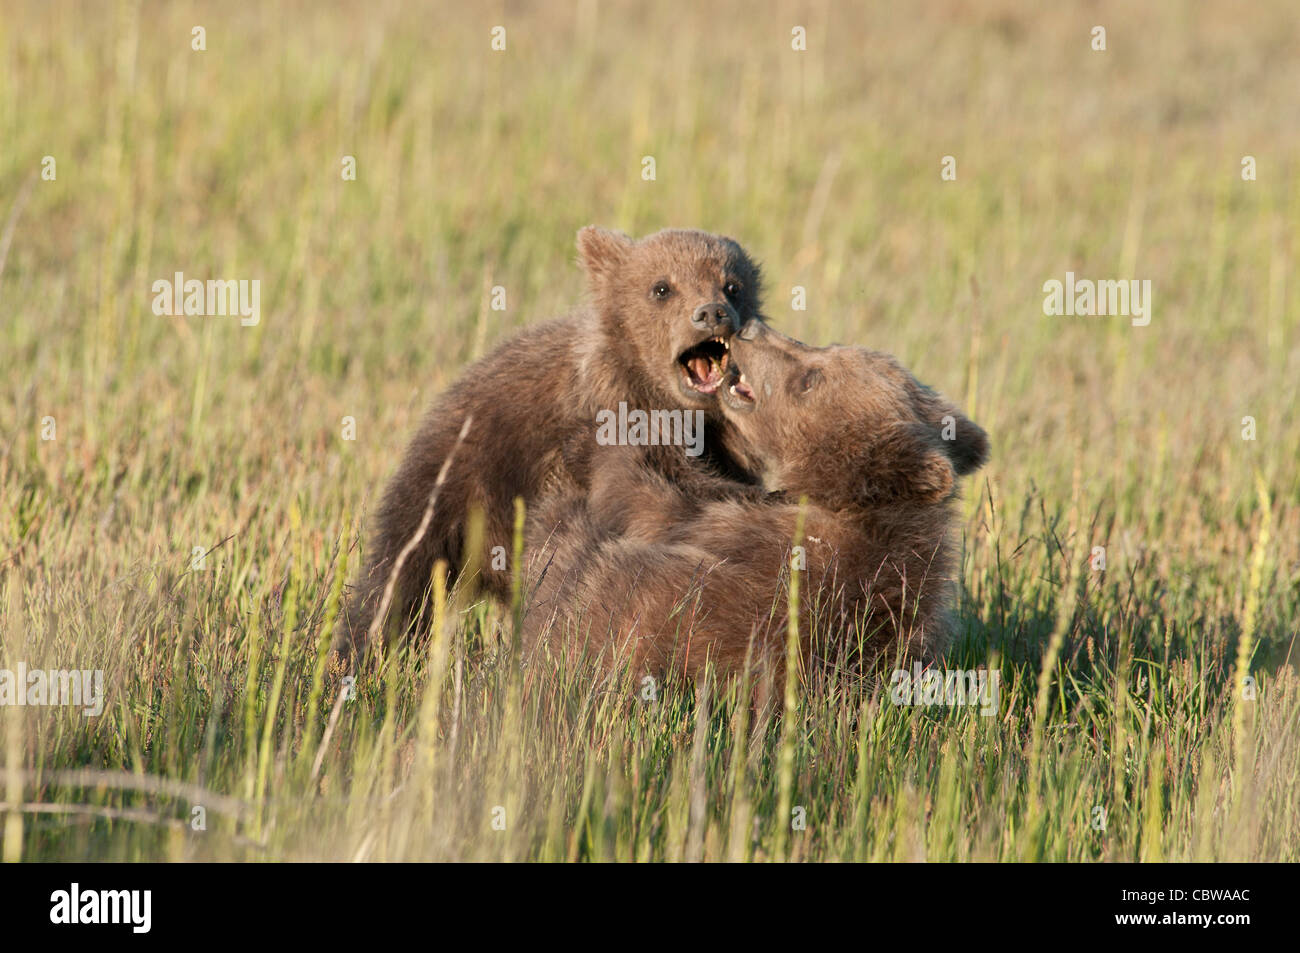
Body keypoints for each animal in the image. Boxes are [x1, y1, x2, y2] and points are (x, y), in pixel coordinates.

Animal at [336, 227, 770, 661]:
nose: (711, 313)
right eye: (661, 287)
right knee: (401, 571)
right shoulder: (610, 420)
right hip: (456, 480)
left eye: (732, 285)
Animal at [521, 321, 989, 691]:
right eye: (826, 347)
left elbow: (651, 503)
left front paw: (612, 434)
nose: (749, 329)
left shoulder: (765, 551)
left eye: (810, 379)